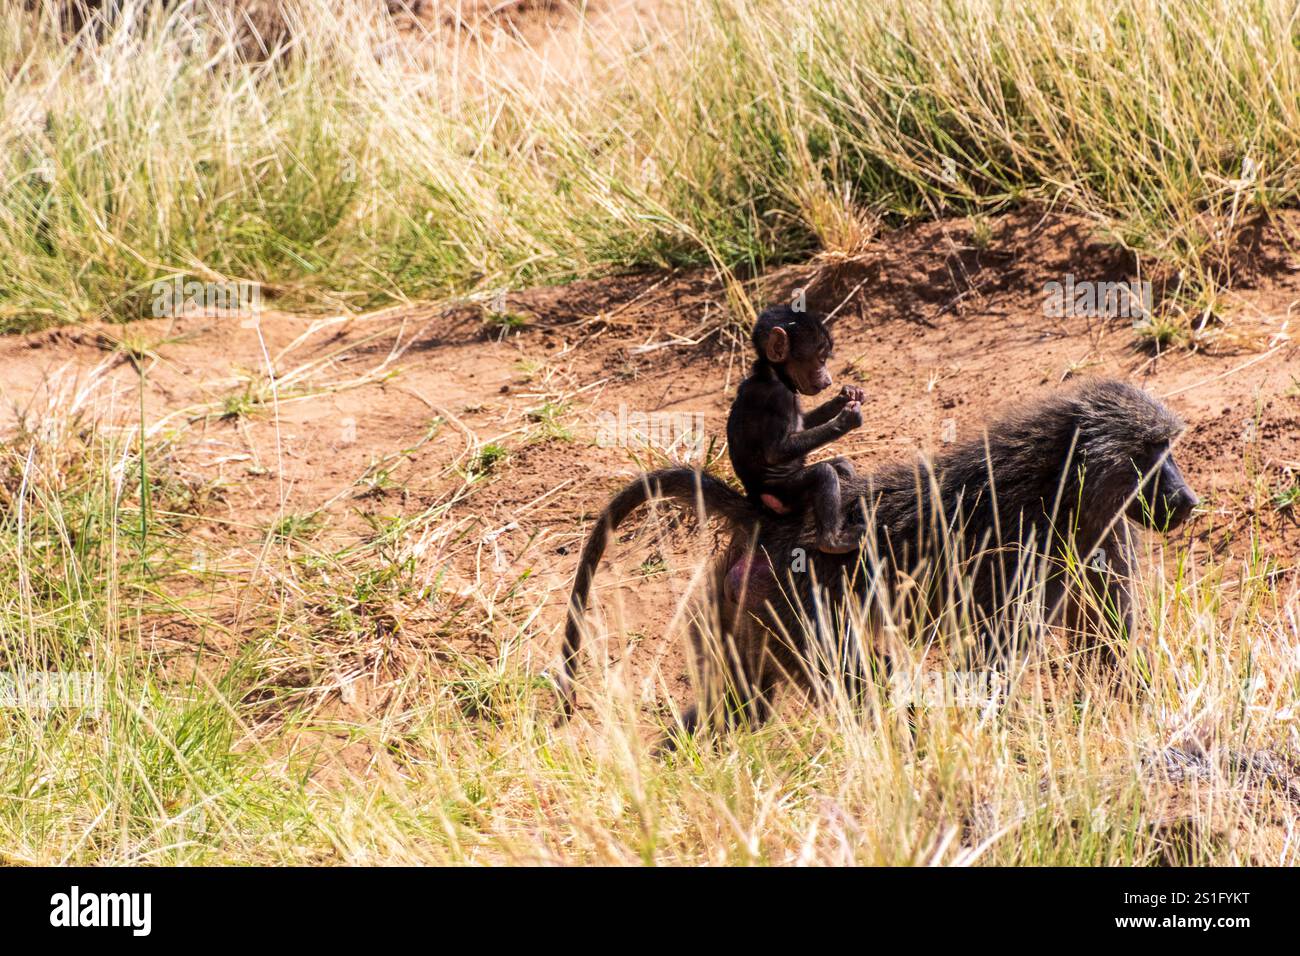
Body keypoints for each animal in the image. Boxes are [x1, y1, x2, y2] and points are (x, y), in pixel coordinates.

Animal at [558, 378, 1197, 731]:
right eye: (1151, 453)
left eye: (1168, 448)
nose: (1188, 500)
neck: (1061, 484)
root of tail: (767, 516)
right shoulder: (1023, 551)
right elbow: (993, 660)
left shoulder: (1103, 536)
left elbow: (1107, 644)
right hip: (792, 604)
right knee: (852, 681)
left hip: (746, 605)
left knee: (740, 703)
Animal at [726, 306, 867, 554]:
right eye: (821, 359)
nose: (828, 381)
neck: (770, 373)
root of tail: (757, 501)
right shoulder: (778, 397)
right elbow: (776, 451)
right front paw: (846, 419)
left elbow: (804, 422)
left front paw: (844, 397)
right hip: (783, 496)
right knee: (823, 473)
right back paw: (833, 542)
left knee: (840, 465)